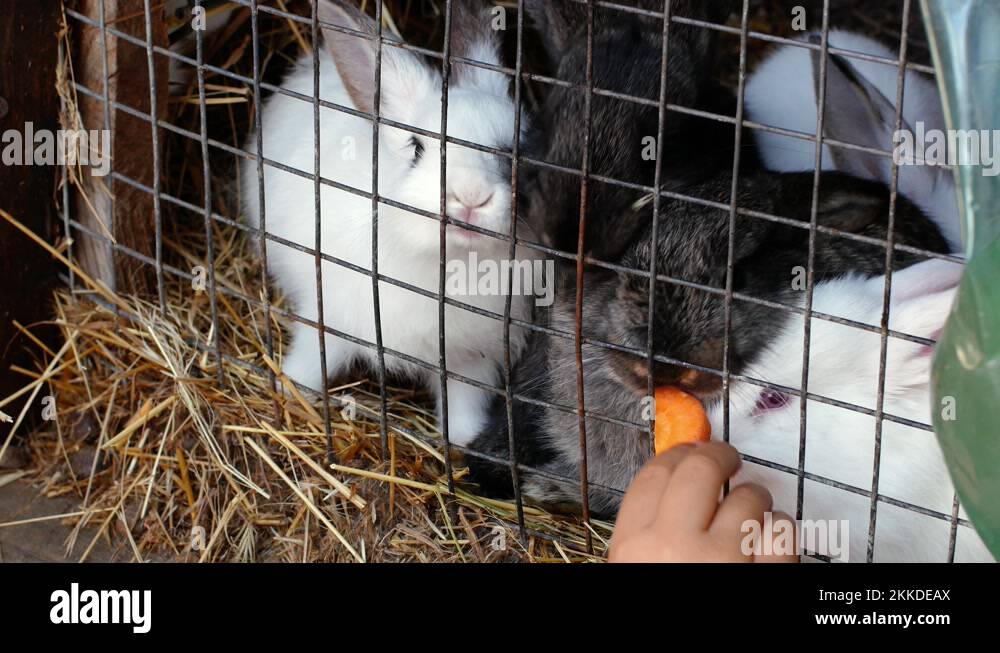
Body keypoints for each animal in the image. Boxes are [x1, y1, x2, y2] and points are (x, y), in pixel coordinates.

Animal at [242, 0, 540, 446]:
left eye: (514, 153)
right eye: (416, 148)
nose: (471, 197)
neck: (451, 263)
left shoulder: (469, 361)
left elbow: (462, 405)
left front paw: (464, 441)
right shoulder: (332, 316)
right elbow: (313, 357)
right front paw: (291, 388)